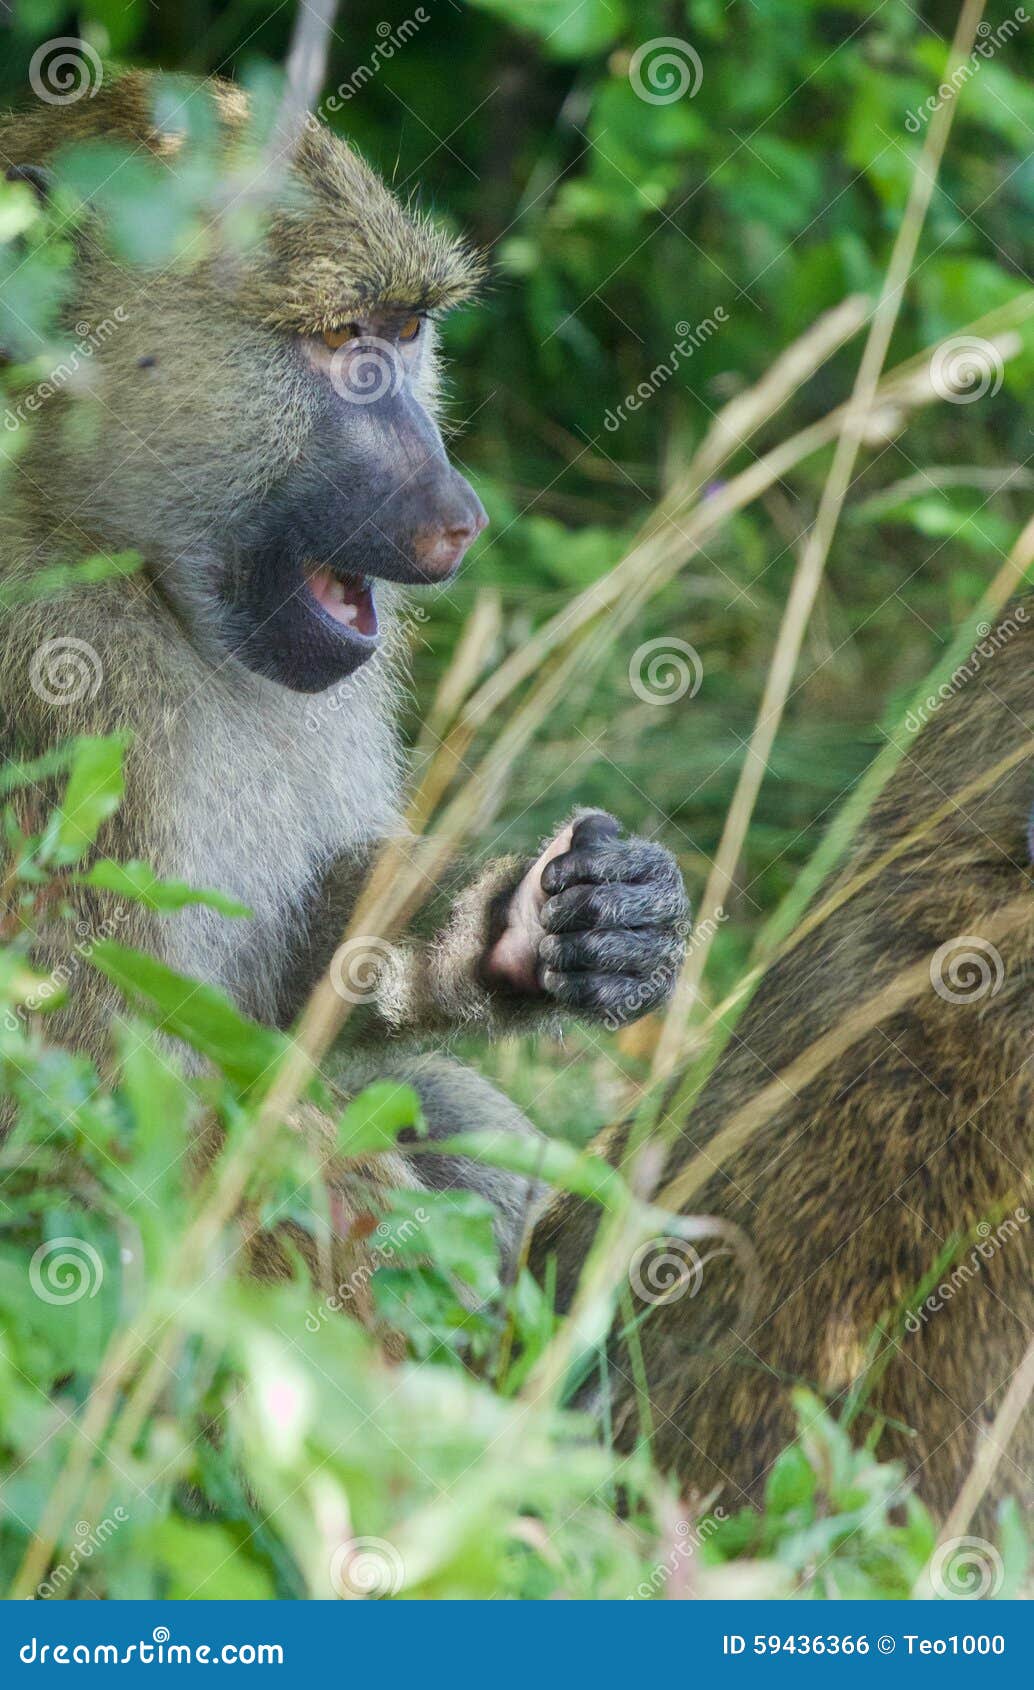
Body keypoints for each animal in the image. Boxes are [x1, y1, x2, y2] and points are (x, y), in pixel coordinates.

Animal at [0, 72, 688, 1282]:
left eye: (404, 333)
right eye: (335, 341)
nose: (459, 517)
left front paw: (530, 928)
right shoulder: (64, 676)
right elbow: (106, 1087)